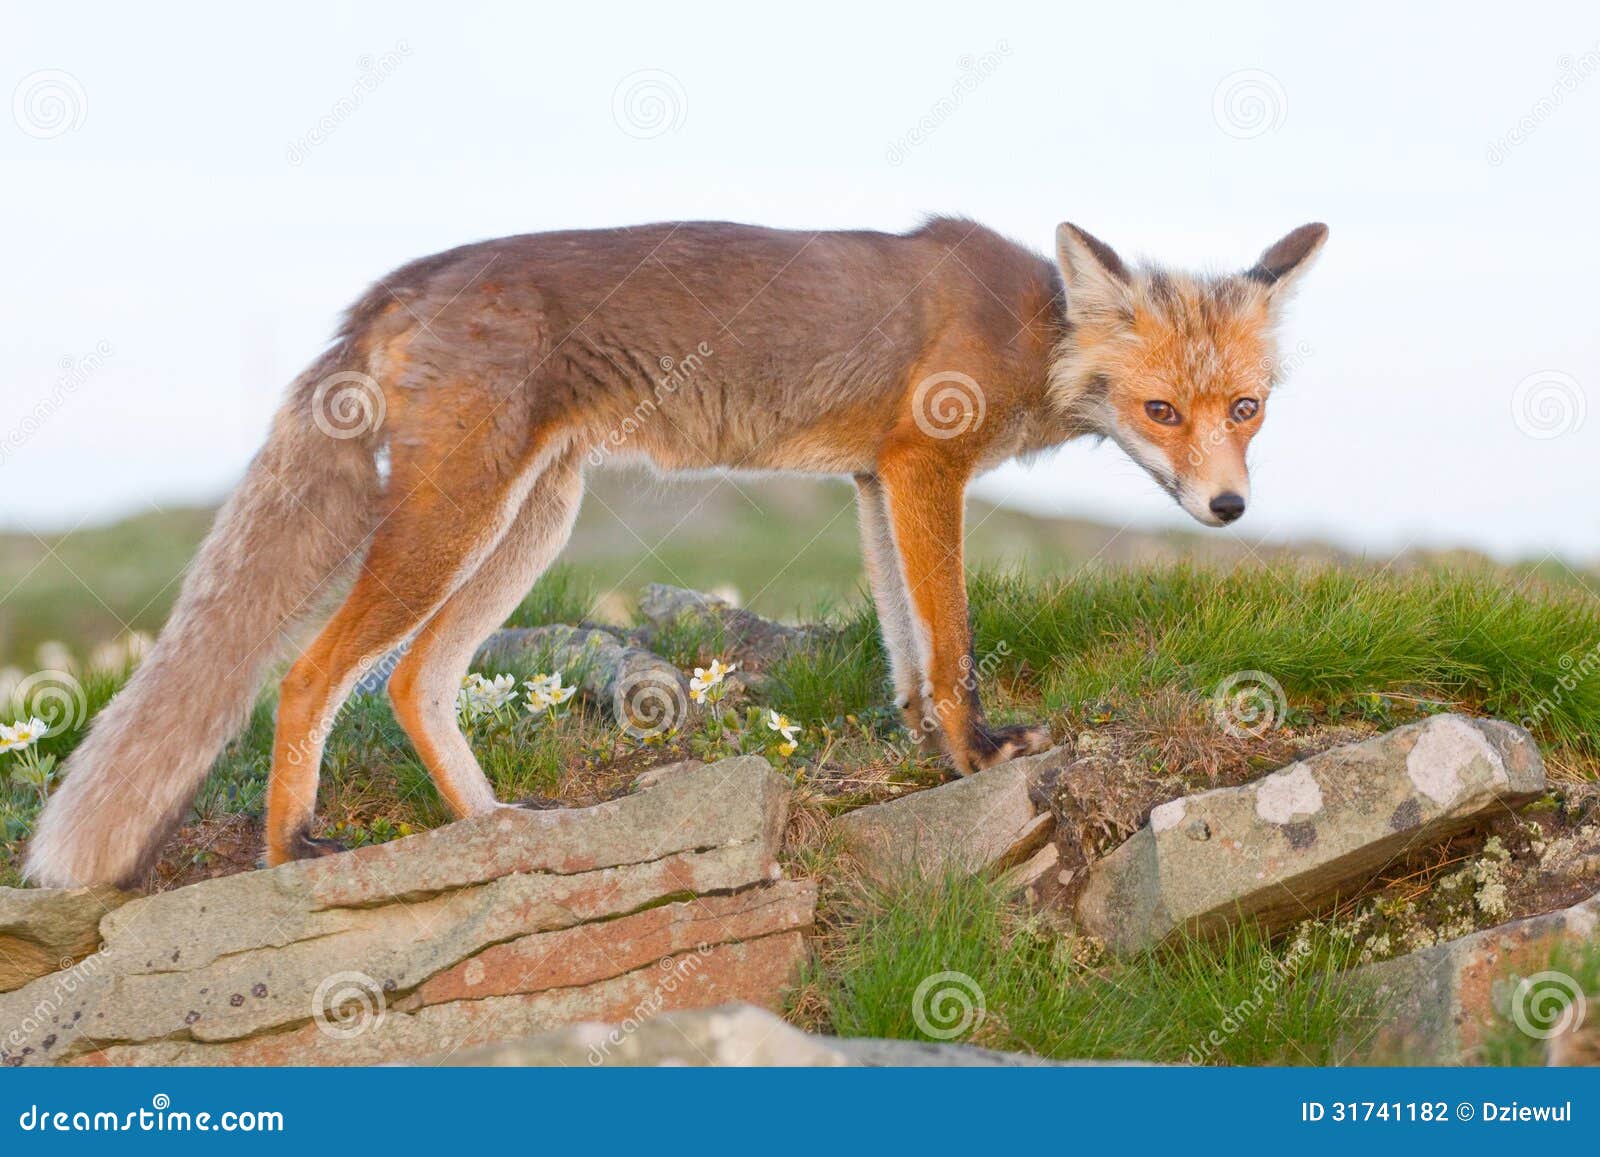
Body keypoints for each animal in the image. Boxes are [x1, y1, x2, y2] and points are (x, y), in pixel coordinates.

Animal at [24, 216, 1327, 888]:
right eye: (1161, 411)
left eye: (1246, 409)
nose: (1227, 508)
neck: (1034, 329)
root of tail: (403, 277)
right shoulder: (924, 467)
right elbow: (950, 638)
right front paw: (972, 752)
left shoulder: (874, 480)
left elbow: (906, 644)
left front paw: (922, 742)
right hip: (458, 517)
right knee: (308, 674)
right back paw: (293, 847)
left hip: (531, 518)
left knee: (412, 680)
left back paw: (496, 830)